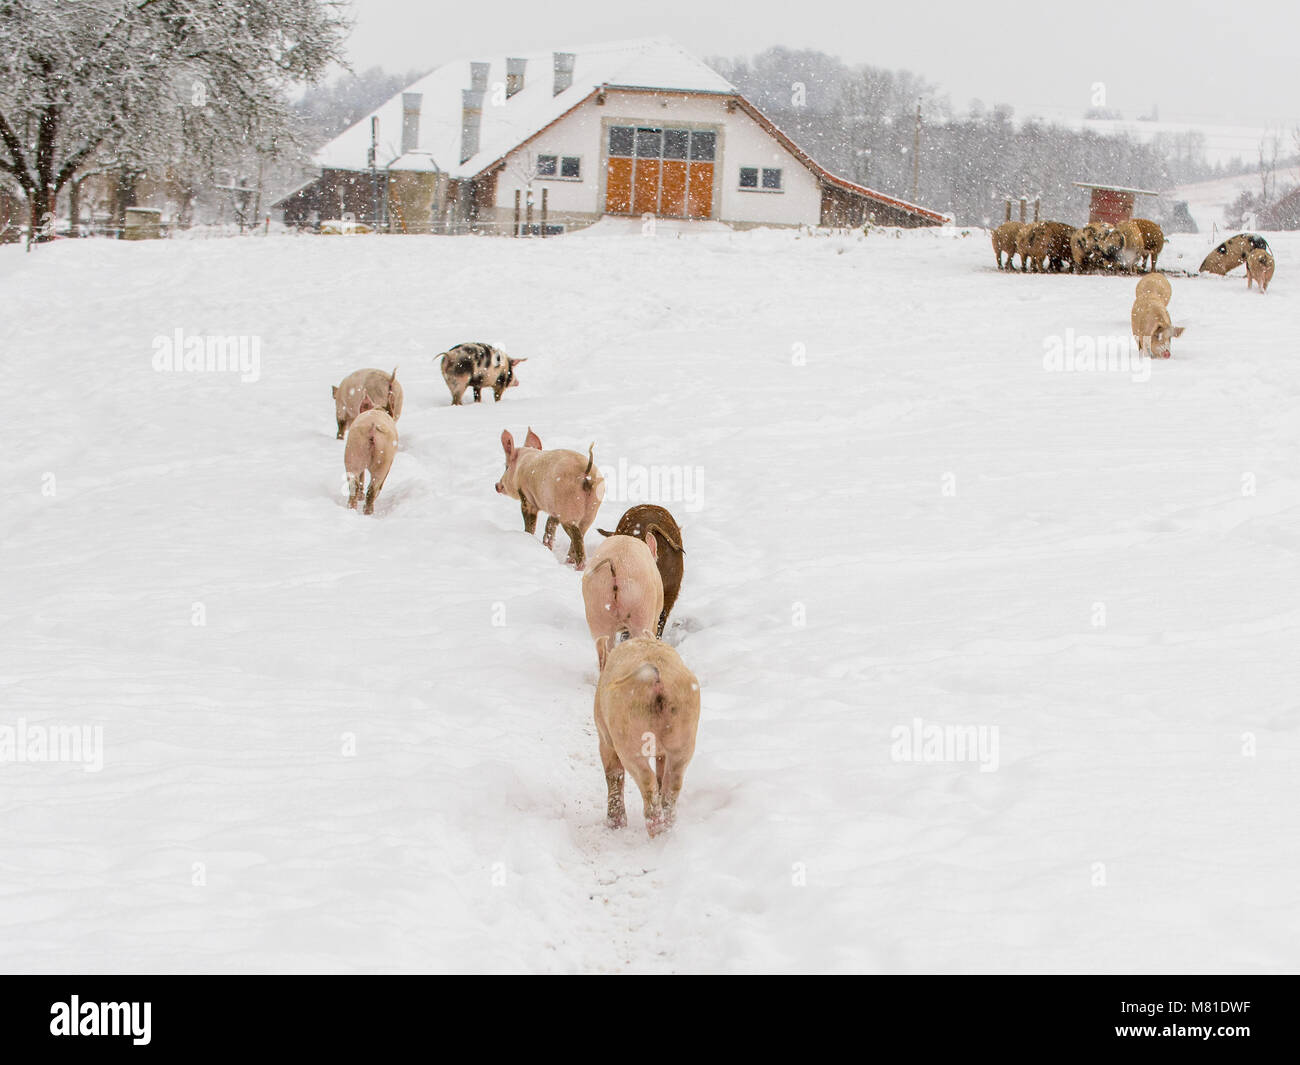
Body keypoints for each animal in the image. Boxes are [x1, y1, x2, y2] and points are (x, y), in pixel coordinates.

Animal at [495, 427, 605, 567]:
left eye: (506, 467)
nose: (496, 485)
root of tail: (586, 474)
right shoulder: (554, 510)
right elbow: (550, 525)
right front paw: (546, 546)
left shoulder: (527, 497)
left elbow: (530, 523)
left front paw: (528, 537)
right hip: (592, 509)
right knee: (581, 533)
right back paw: (568, 562)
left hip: (568, 510)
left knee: (577, 538)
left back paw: (579, 567)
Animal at [593, 636, 700, 838]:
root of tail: (657, 679)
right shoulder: (663, 751)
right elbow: (660, 769)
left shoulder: (605, 738)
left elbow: (613, 774)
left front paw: (614, 826)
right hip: (685, 735)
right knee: (671, 785)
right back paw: (667, 828)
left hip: (628, 737)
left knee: (646, 781)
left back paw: (655, 831)